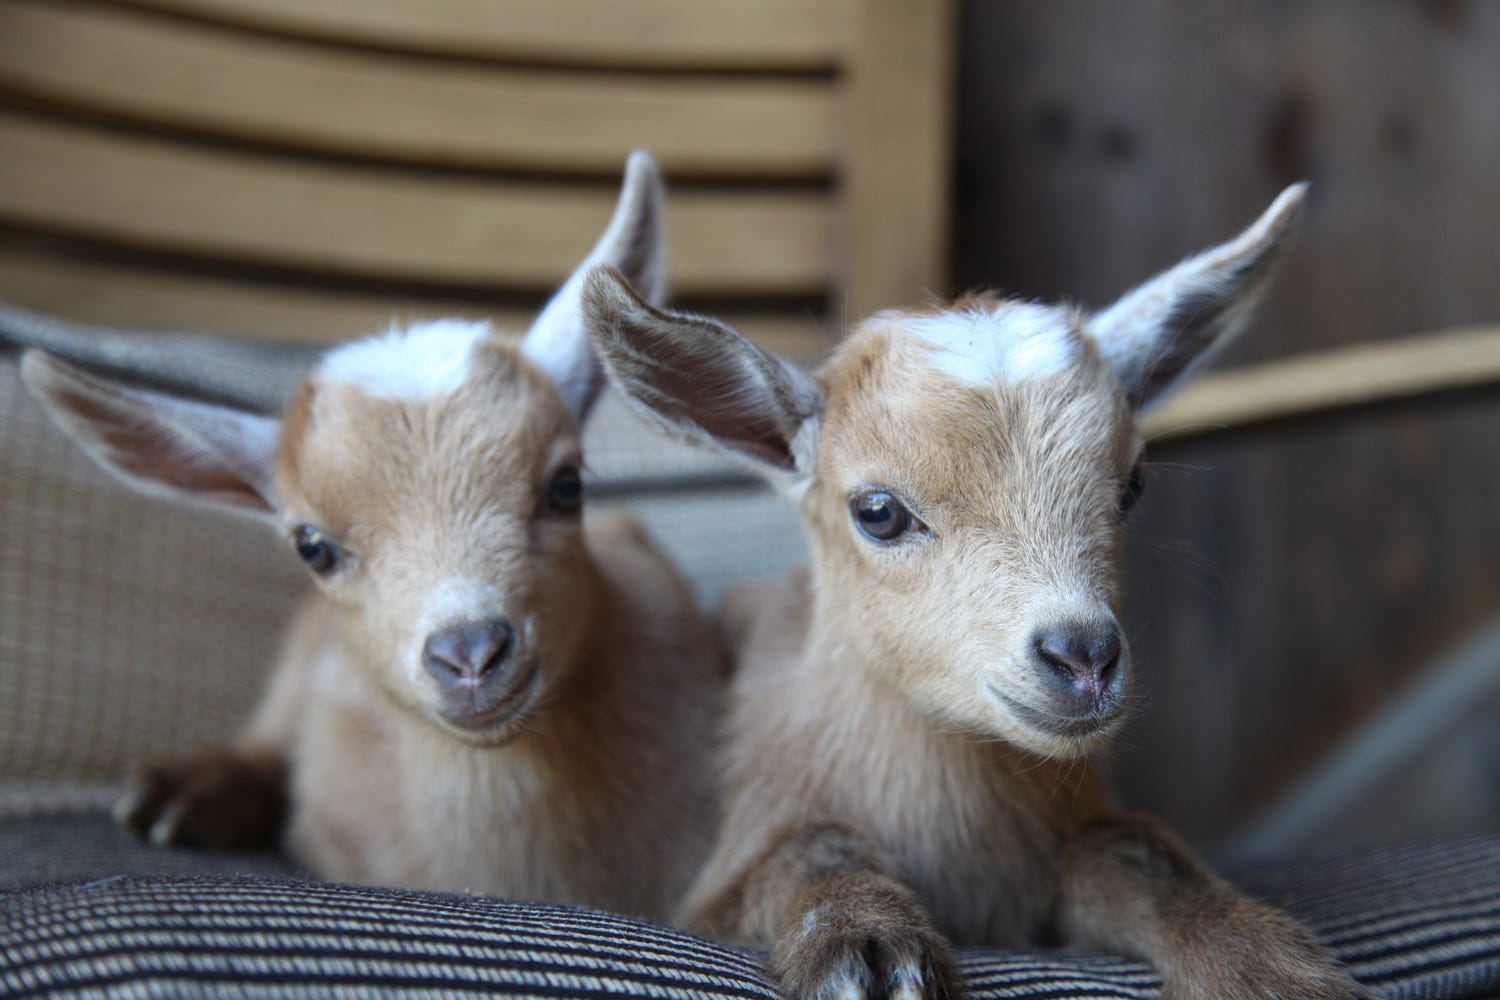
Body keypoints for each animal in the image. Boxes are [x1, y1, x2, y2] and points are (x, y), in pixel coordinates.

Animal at [584, 184, 1371, 998]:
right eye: (878, 511)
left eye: (1133, 484)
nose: (1084, 659)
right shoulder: (725, 875)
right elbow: (810, 848)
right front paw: (861, 938)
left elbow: (1131, 848)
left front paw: (1262, 962)